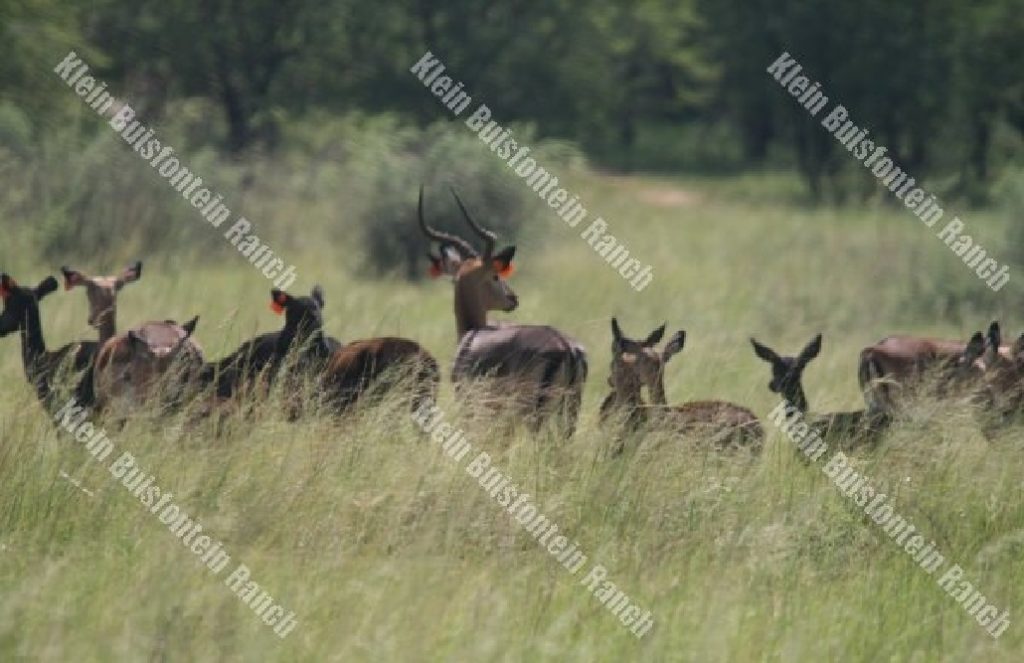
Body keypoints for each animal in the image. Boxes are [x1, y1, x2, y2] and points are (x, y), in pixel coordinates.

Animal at [418, 186, 588, 436]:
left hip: (536, 414)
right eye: (496, 276)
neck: (473, 333)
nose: (513, 299)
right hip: (568, 413)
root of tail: (567, 347)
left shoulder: (468, 405)